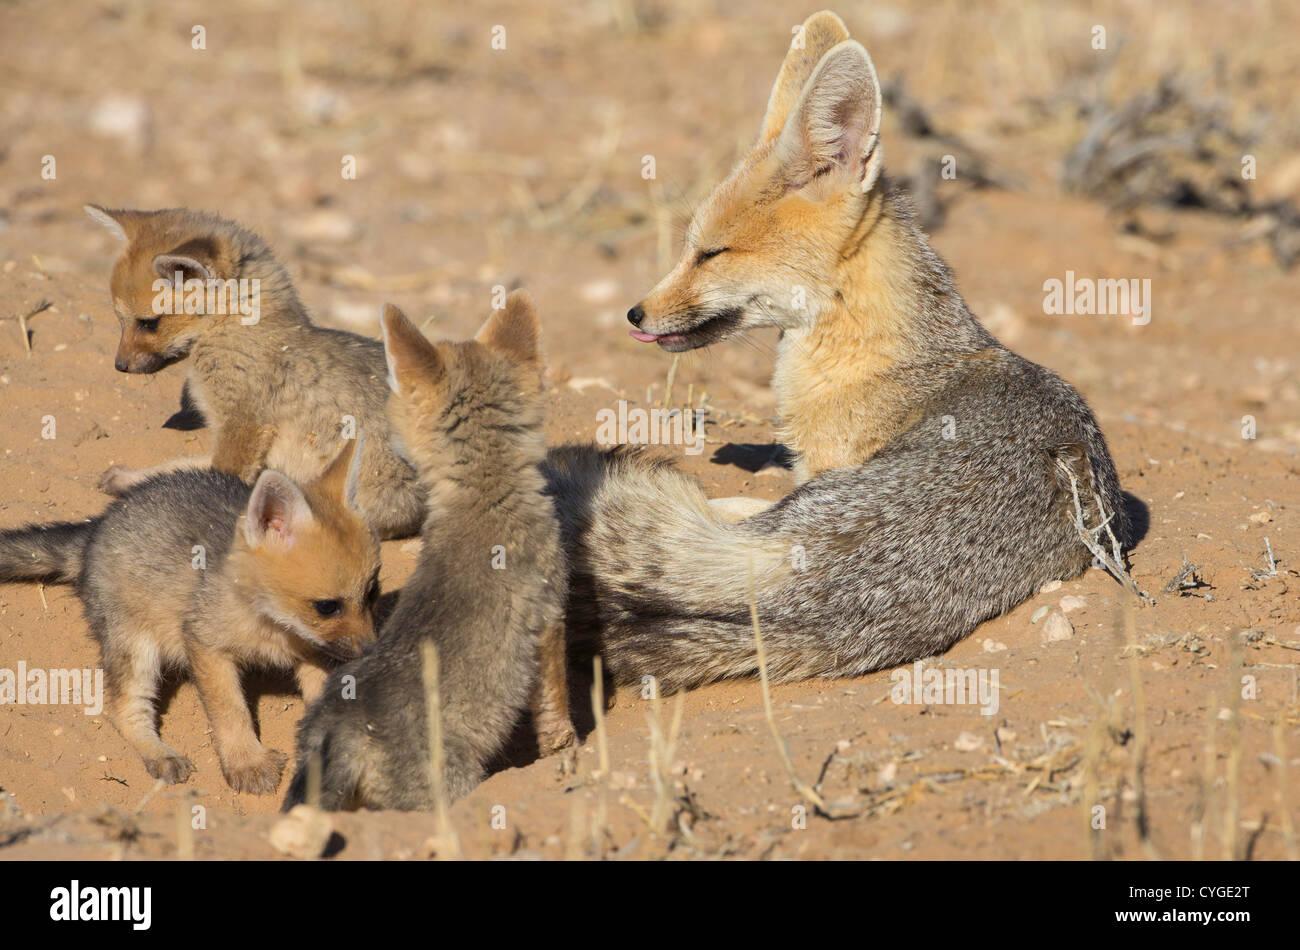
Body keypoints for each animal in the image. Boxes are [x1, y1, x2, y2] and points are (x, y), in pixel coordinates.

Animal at [0, 439, 380, 793]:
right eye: (327, 606)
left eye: (372, 592)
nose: (370, 650)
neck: (272, 627)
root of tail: (97, 527)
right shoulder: (203, 645)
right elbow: (230, 712)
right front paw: (246, 761)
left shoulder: (314, 651)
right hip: (137, 649)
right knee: (121, 710)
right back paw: (159, 754)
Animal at [83, 204, 424, 540]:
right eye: (119, 320)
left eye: (148, 323)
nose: (119, 365)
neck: (233, 326)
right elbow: (185, 465)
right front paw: (129, 478)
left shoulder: (242, 424)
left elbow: (215, 474)